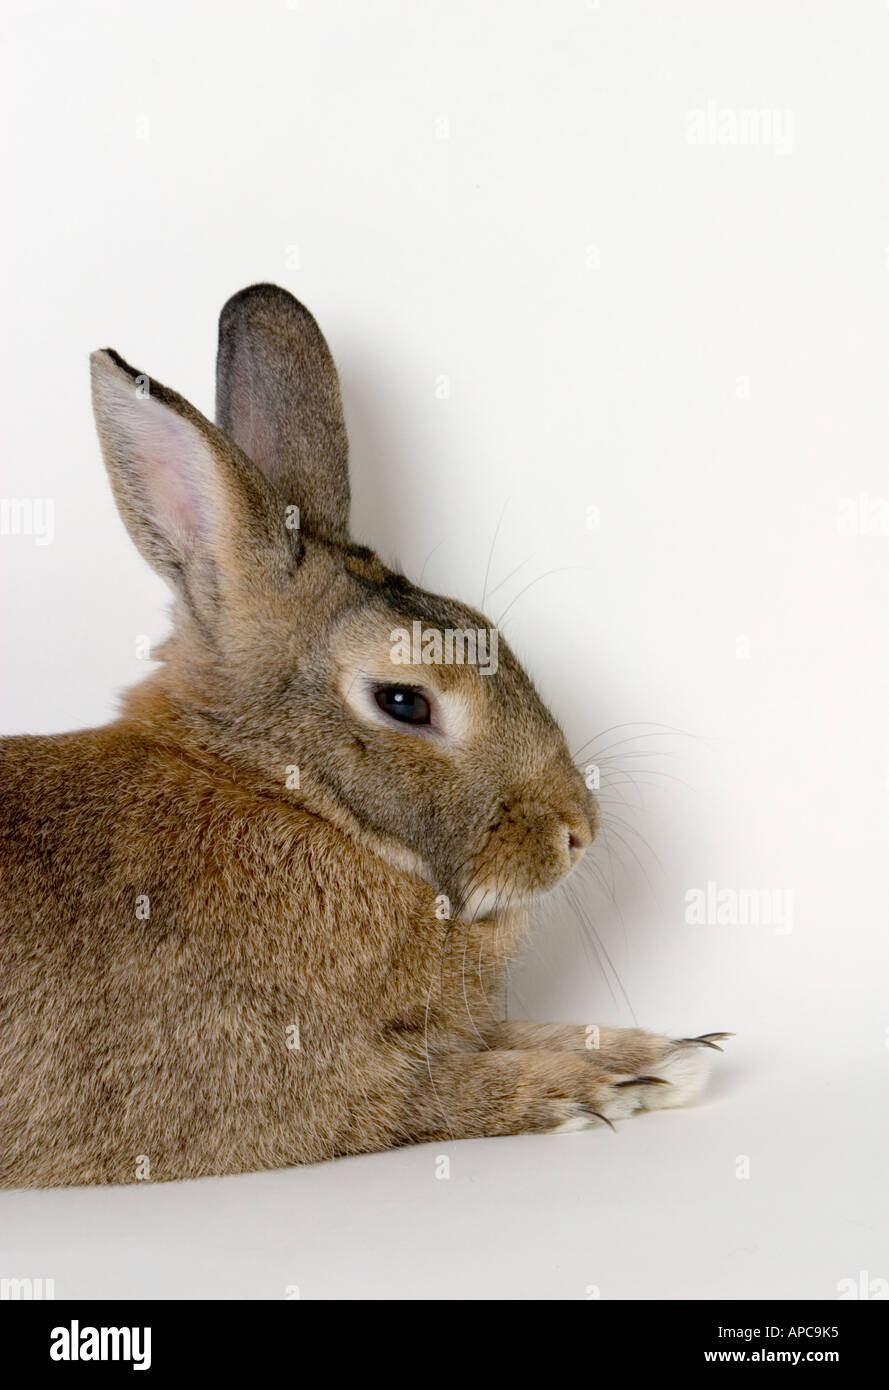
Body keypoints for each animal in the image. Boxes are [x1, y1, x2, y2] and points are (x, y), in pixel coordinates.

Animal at [0, 284, 728, 1187]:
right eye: (405, 702)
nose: (575, 833)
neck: (280, 791)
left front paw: (656, 1049)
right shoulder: (306, 1087)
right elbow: (444, 1093)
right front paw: (620, 1077)